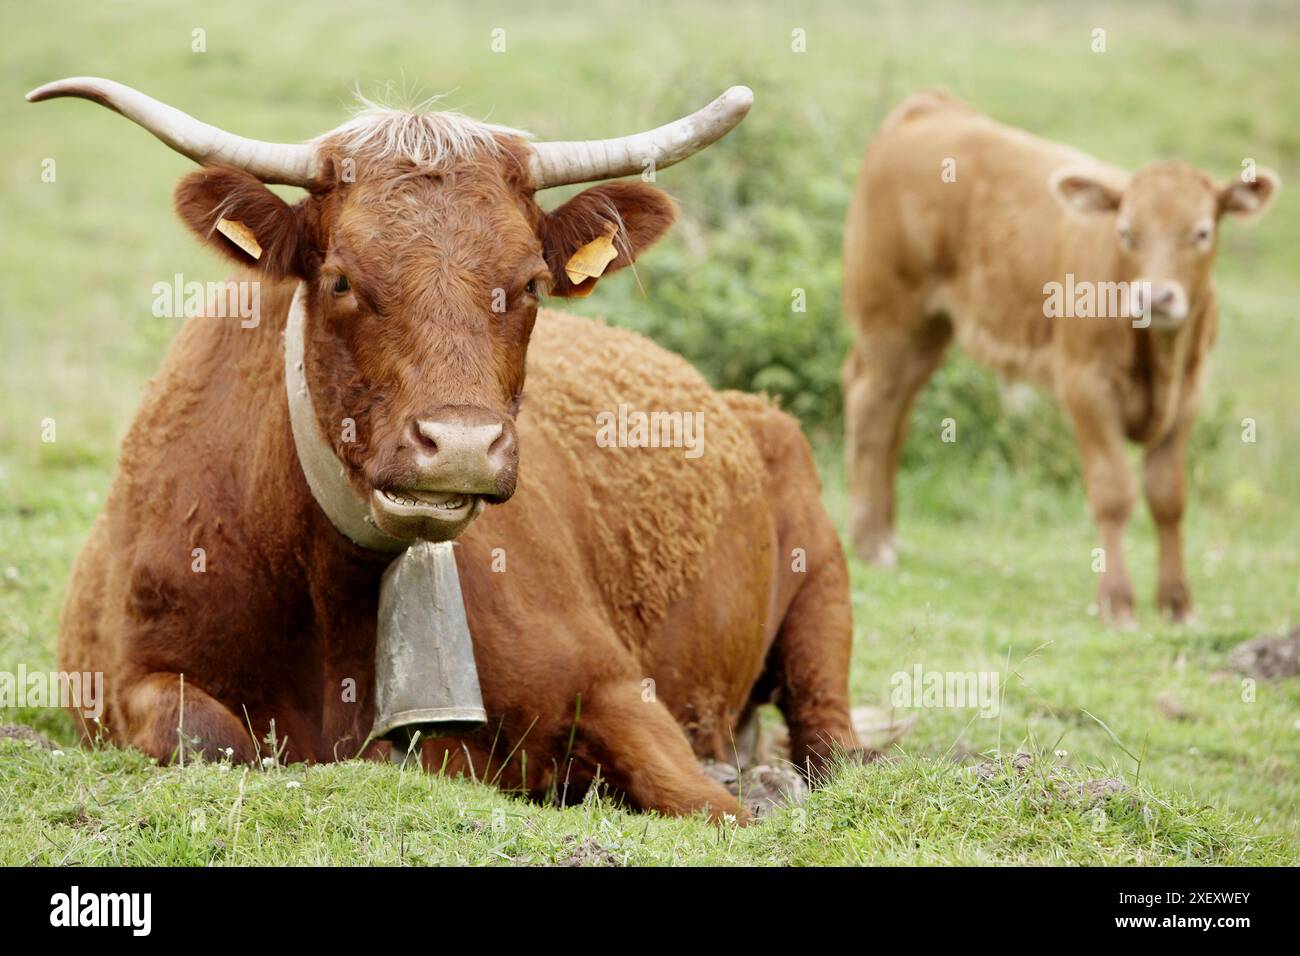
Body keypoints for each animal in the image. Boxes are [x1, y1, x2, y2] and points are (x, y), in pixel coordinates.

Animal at [33, 77, 864, 823]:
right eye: (340, 279)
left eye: (529, 284)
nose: (461, 446)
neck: (331, 596)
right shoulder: (129, 674)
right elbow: (206, 736)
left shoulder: (613, 686)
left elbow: (712, 806)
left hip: (823, 594)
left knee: (832, 743)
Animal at [842, 91, 1279, 626]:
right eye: (1126, 233)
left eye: (1201, 233)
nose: (1155, 297)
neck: (1160, 358)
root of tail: (931, 105)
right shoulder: (1085, 383)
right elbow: (1113, 490)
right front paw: (1116, 600)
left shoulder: (1190, 392)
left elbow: (1168, 495)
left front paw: (1177, 603)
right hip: (890, 313)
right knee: (871, 407)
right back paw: (870, 543)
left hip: (927, 330)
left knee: (894, 414)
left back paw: (886, 534)